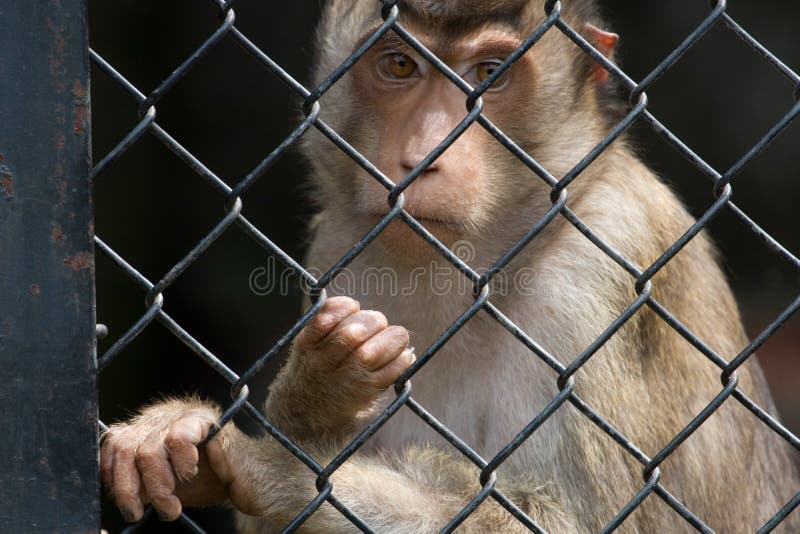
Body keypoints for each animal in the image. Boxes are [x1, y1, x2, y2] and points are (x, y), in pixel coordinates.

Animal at [100, 1, 800, 532]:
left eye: (491, 73)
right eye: (400, 65)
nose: (426, 152)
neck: (479, 264)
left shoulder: (608, 267)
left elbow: (569, 520)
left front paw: (289, 447)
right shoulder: (340, 249)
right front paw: (187, 432)